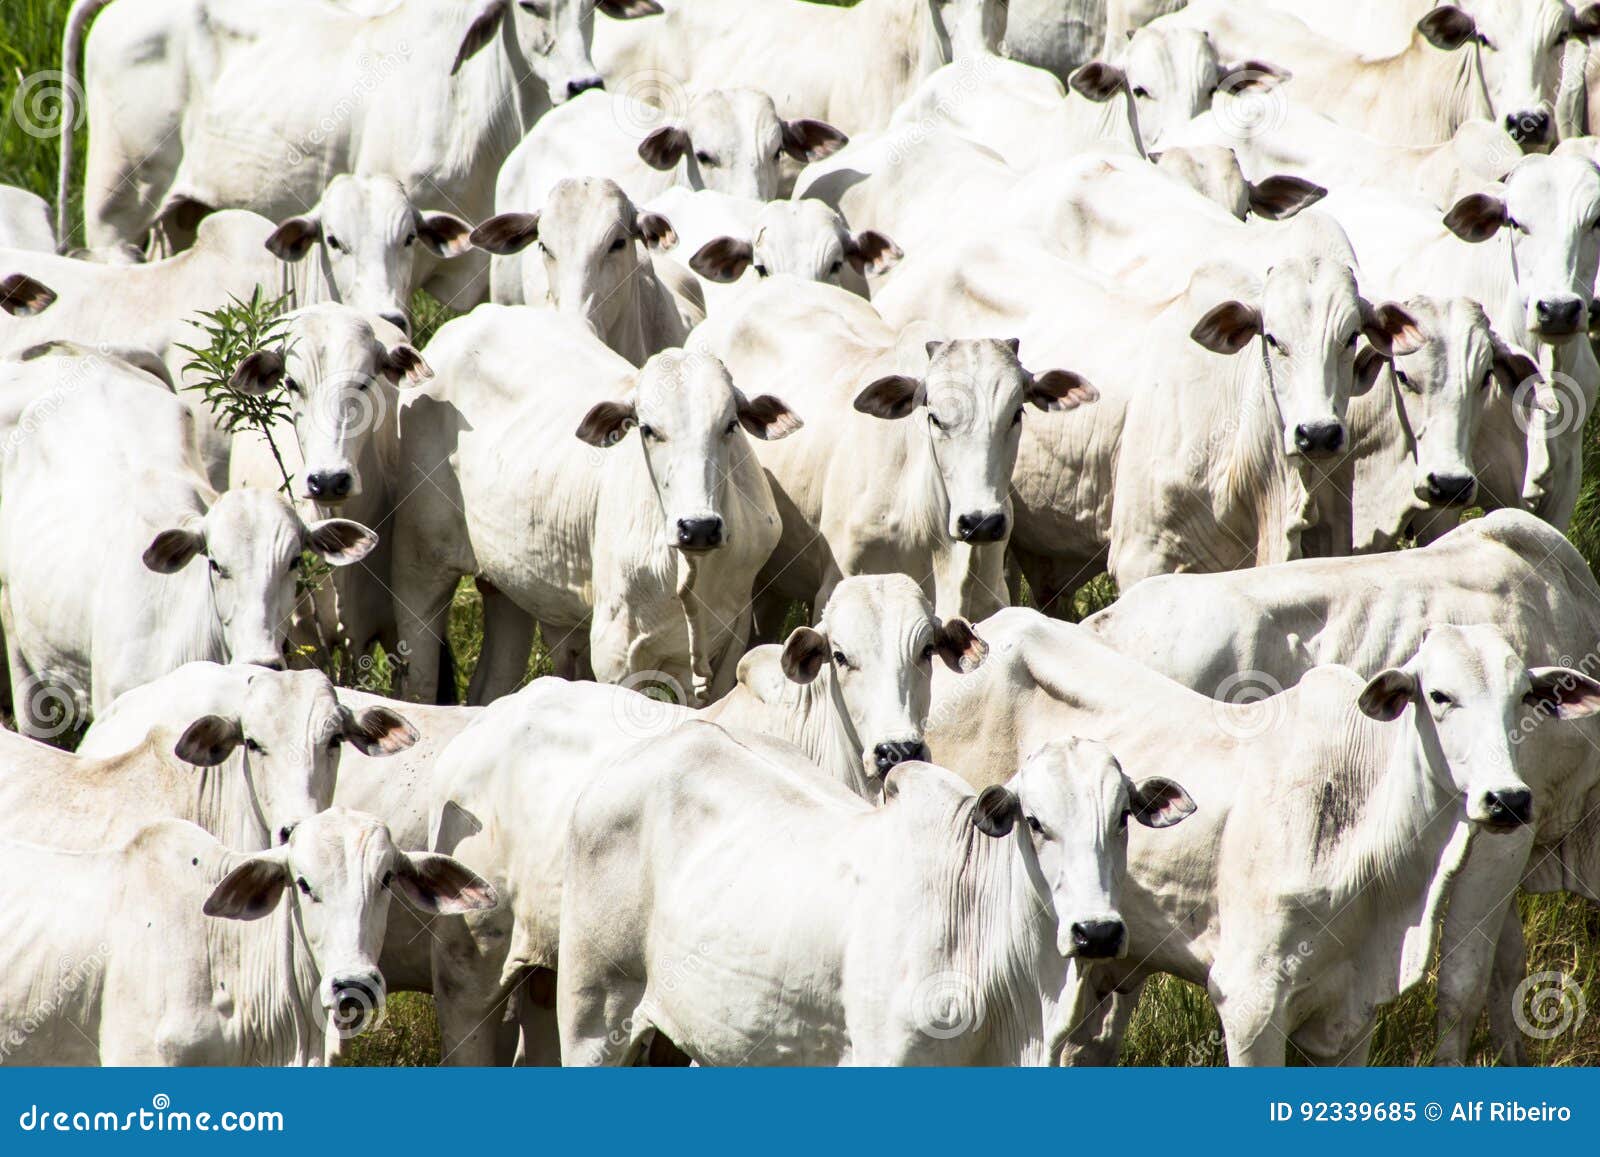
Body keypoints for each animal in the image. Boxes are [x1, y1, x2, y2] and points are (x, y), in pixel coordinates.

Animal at [392, 310, 798, 706]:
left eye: (730, 425)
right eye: (648, 429)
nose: (698, 528)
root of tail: (463, 324)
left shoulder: (731, 640)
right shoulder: (615, 653)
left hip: (509, 582)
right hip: (419, 565)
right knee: (418, 678)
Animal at [1081, 510, 1600, 1064]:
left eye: (1525, 695)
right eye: (1439, 696)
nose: (1509, 798)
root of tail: (1100, 622)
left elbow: (1508, 969)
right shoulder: (1501, 838)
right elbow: (1465, 985)